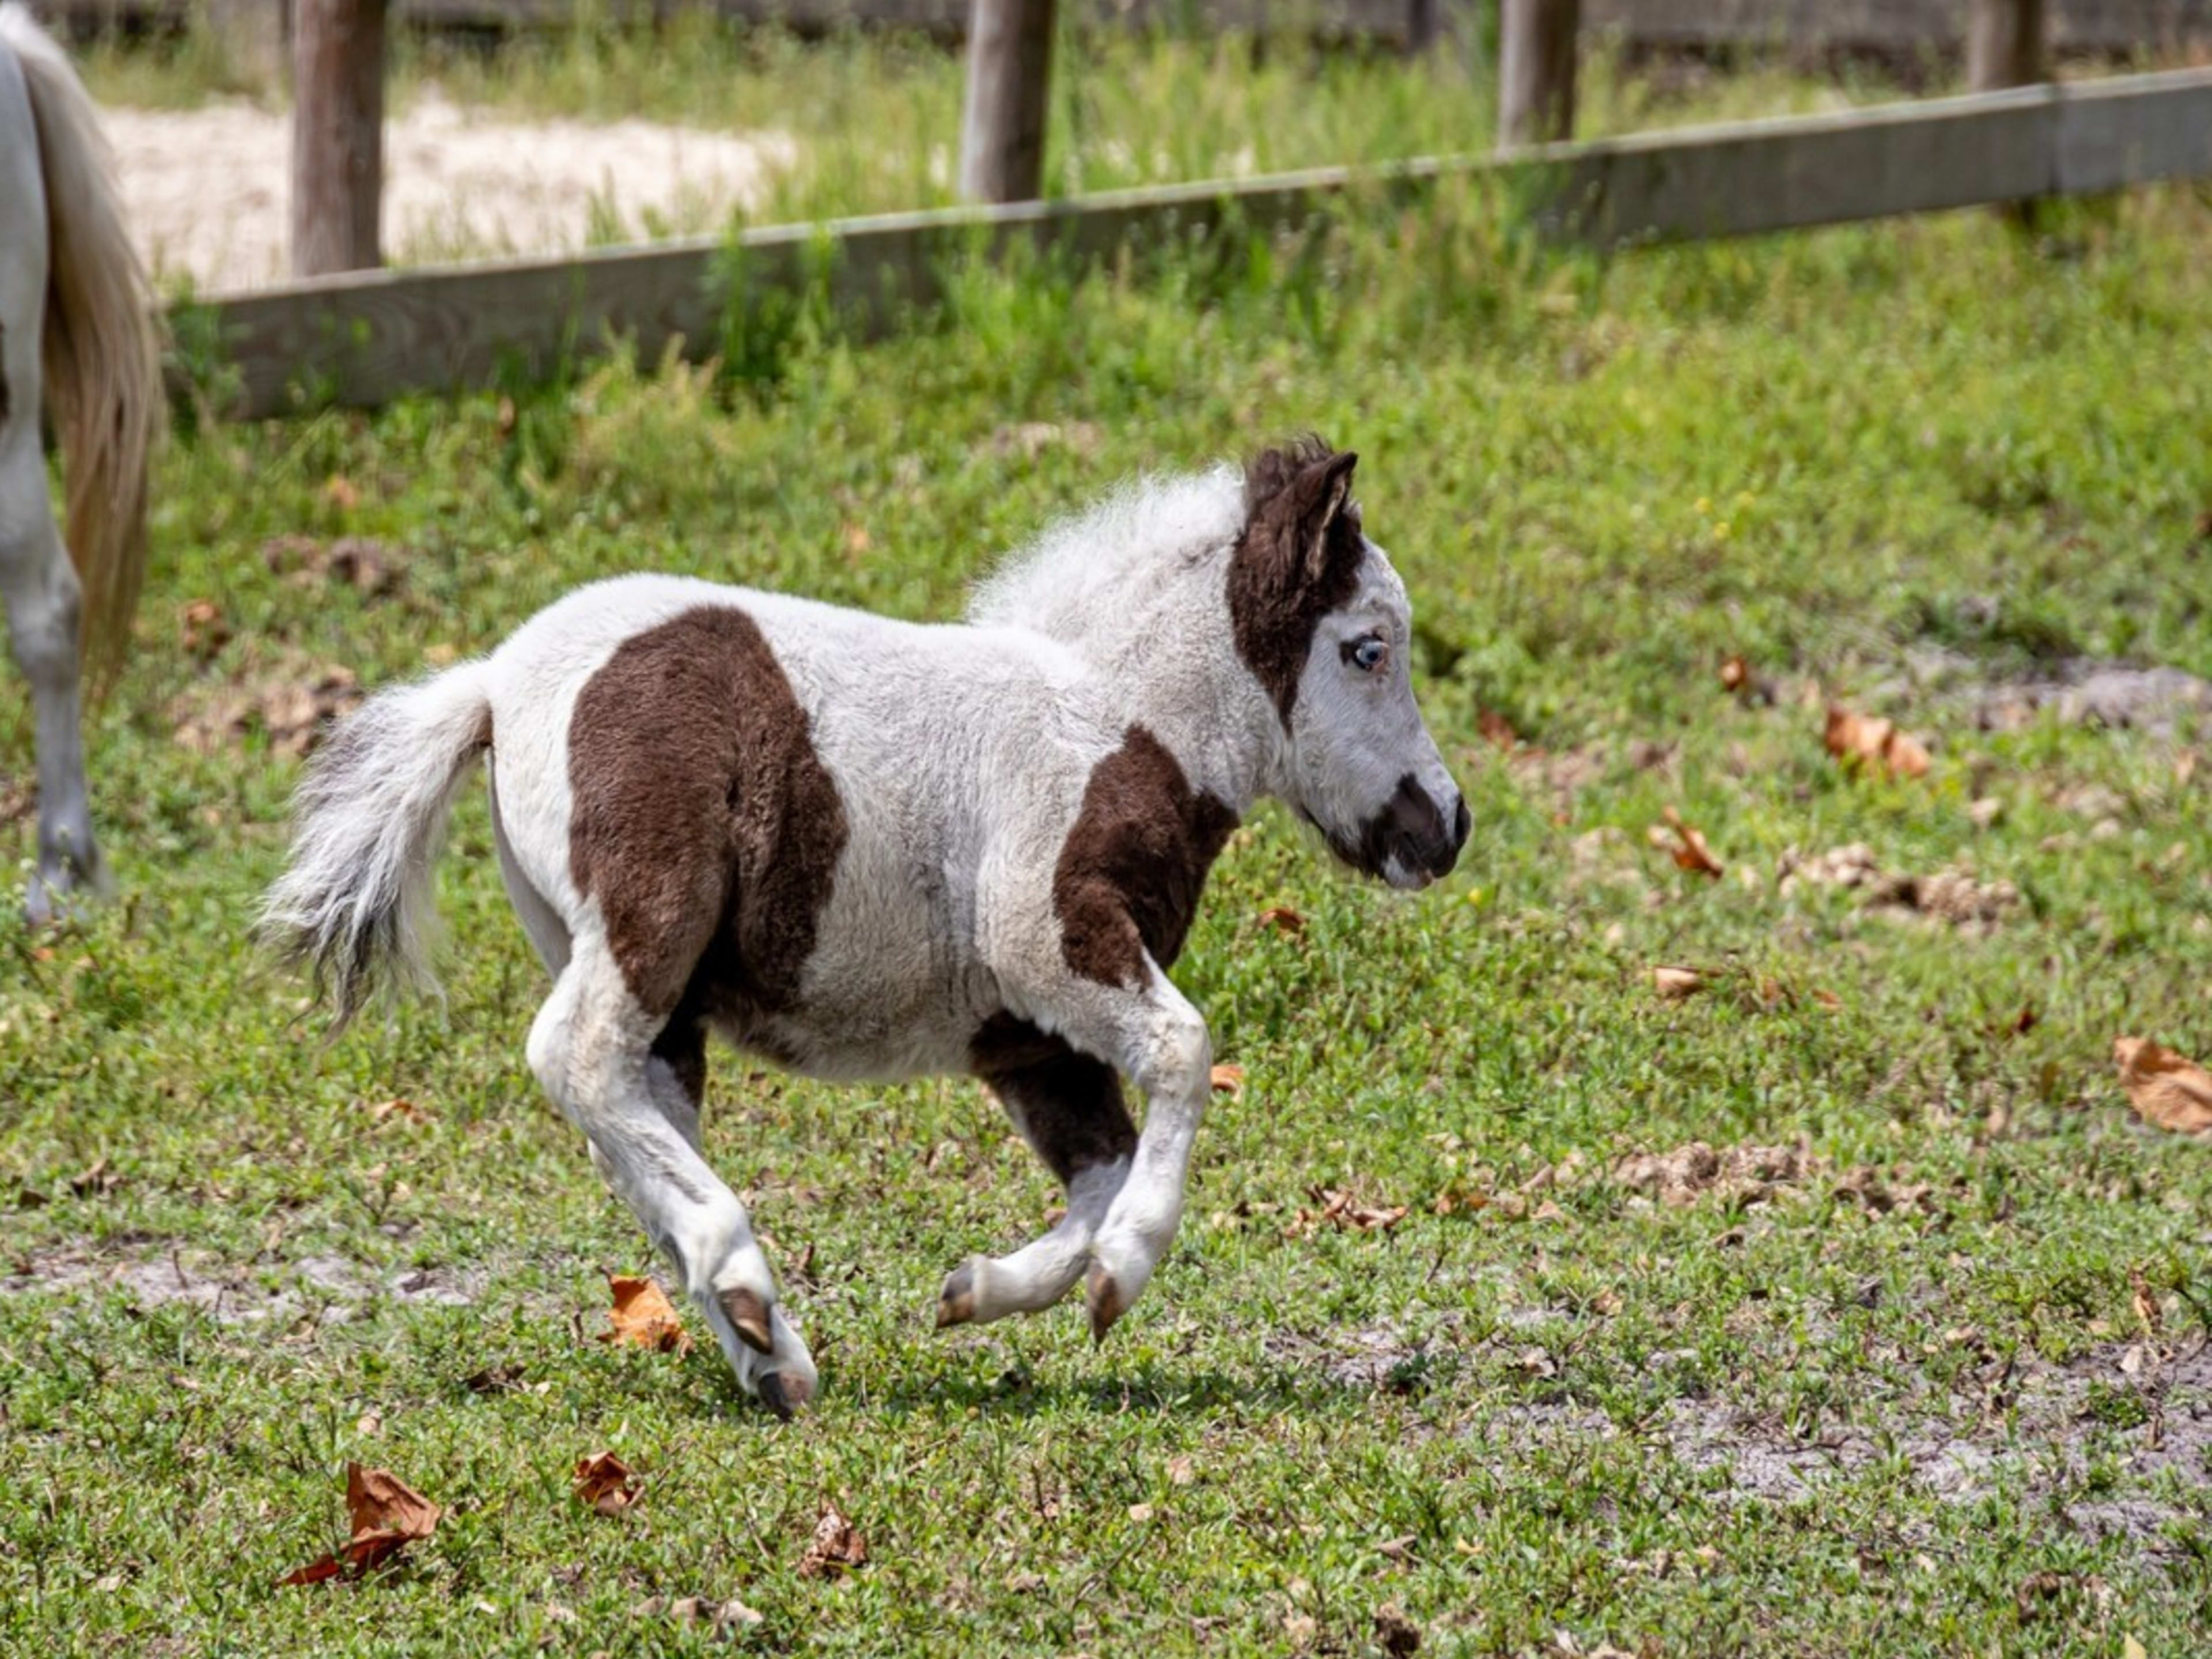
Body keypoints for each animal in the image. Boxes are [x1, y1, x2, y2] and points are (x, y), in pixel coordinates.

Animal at [265, 439, 1469, 1416]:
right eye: (1366, 648)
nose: (1447, 825)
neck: (1118, 725)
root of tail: (493, 686)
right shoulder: (1052, 941)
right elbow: (1183, 1057)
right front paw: (1121, 1275)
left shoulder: (1027, 1038)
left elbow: (1100, 1169)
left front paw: (977, 1291)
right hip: (650, 921)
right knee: (577, 1057)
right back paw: (745, 1283)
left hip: (649, 981)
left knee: (633, 1113)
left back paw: (770, 1355)